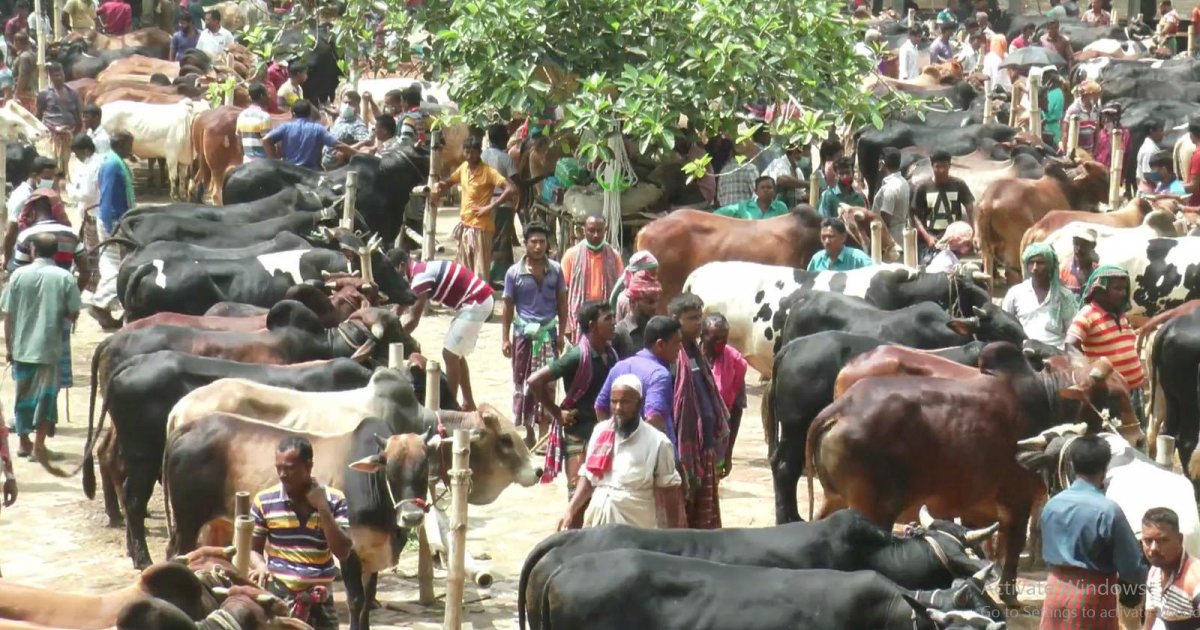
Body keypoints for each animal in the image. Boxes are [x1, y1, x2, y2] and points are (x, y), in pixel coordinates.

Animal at [163, 414, 431, 630]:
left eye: (424, 468)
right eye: (389, 469)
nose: (412, 516)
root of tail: (188, 426)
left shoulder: (372, 556)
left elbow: (368, 601)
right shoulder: (351, 552)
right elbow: (356, 601)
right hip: (188, 521)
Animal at [807, 342, 1123, 602]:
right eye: (1113, 396)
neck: (1048, 400)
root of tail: (840, 408)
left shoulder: (976, 507)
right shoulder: (1017, 499)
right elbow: (1011, 548)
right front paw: (1009, 596)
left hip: (835, 499)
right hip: (874, 509)